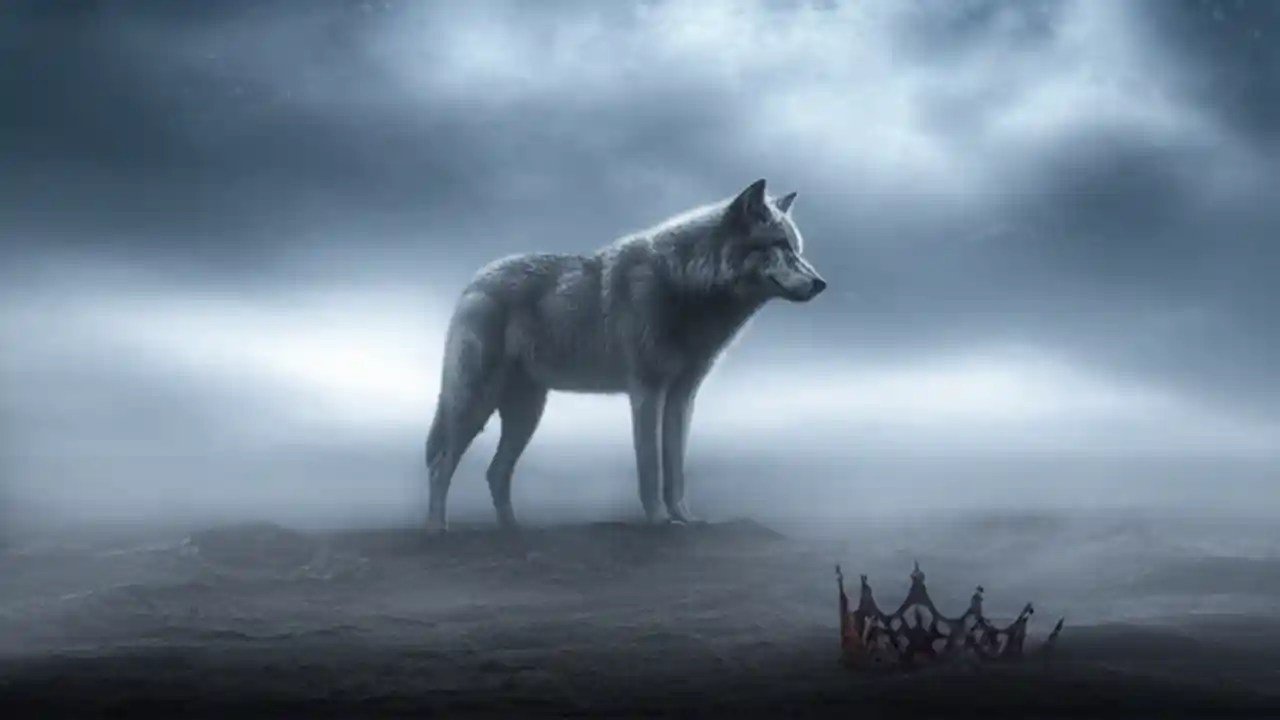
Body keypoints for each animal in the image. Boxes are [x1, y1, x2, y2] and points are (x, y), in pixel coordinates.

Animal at [424, 179, 826, 533]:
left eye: (797, 249)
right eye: (779, 245)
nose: (821, 283)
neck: (686, 285)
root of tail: (473, 282)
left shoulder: (681, 398)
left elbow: (675, 468)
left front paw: (686, 518)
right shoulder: (646, 392)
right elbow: (649, 467)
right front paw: (660, 521)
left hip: (526, 414)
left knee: (496, 471)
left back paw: (512, 529)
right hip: (475, 403)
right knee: (441, 461)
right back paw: (436, 528)